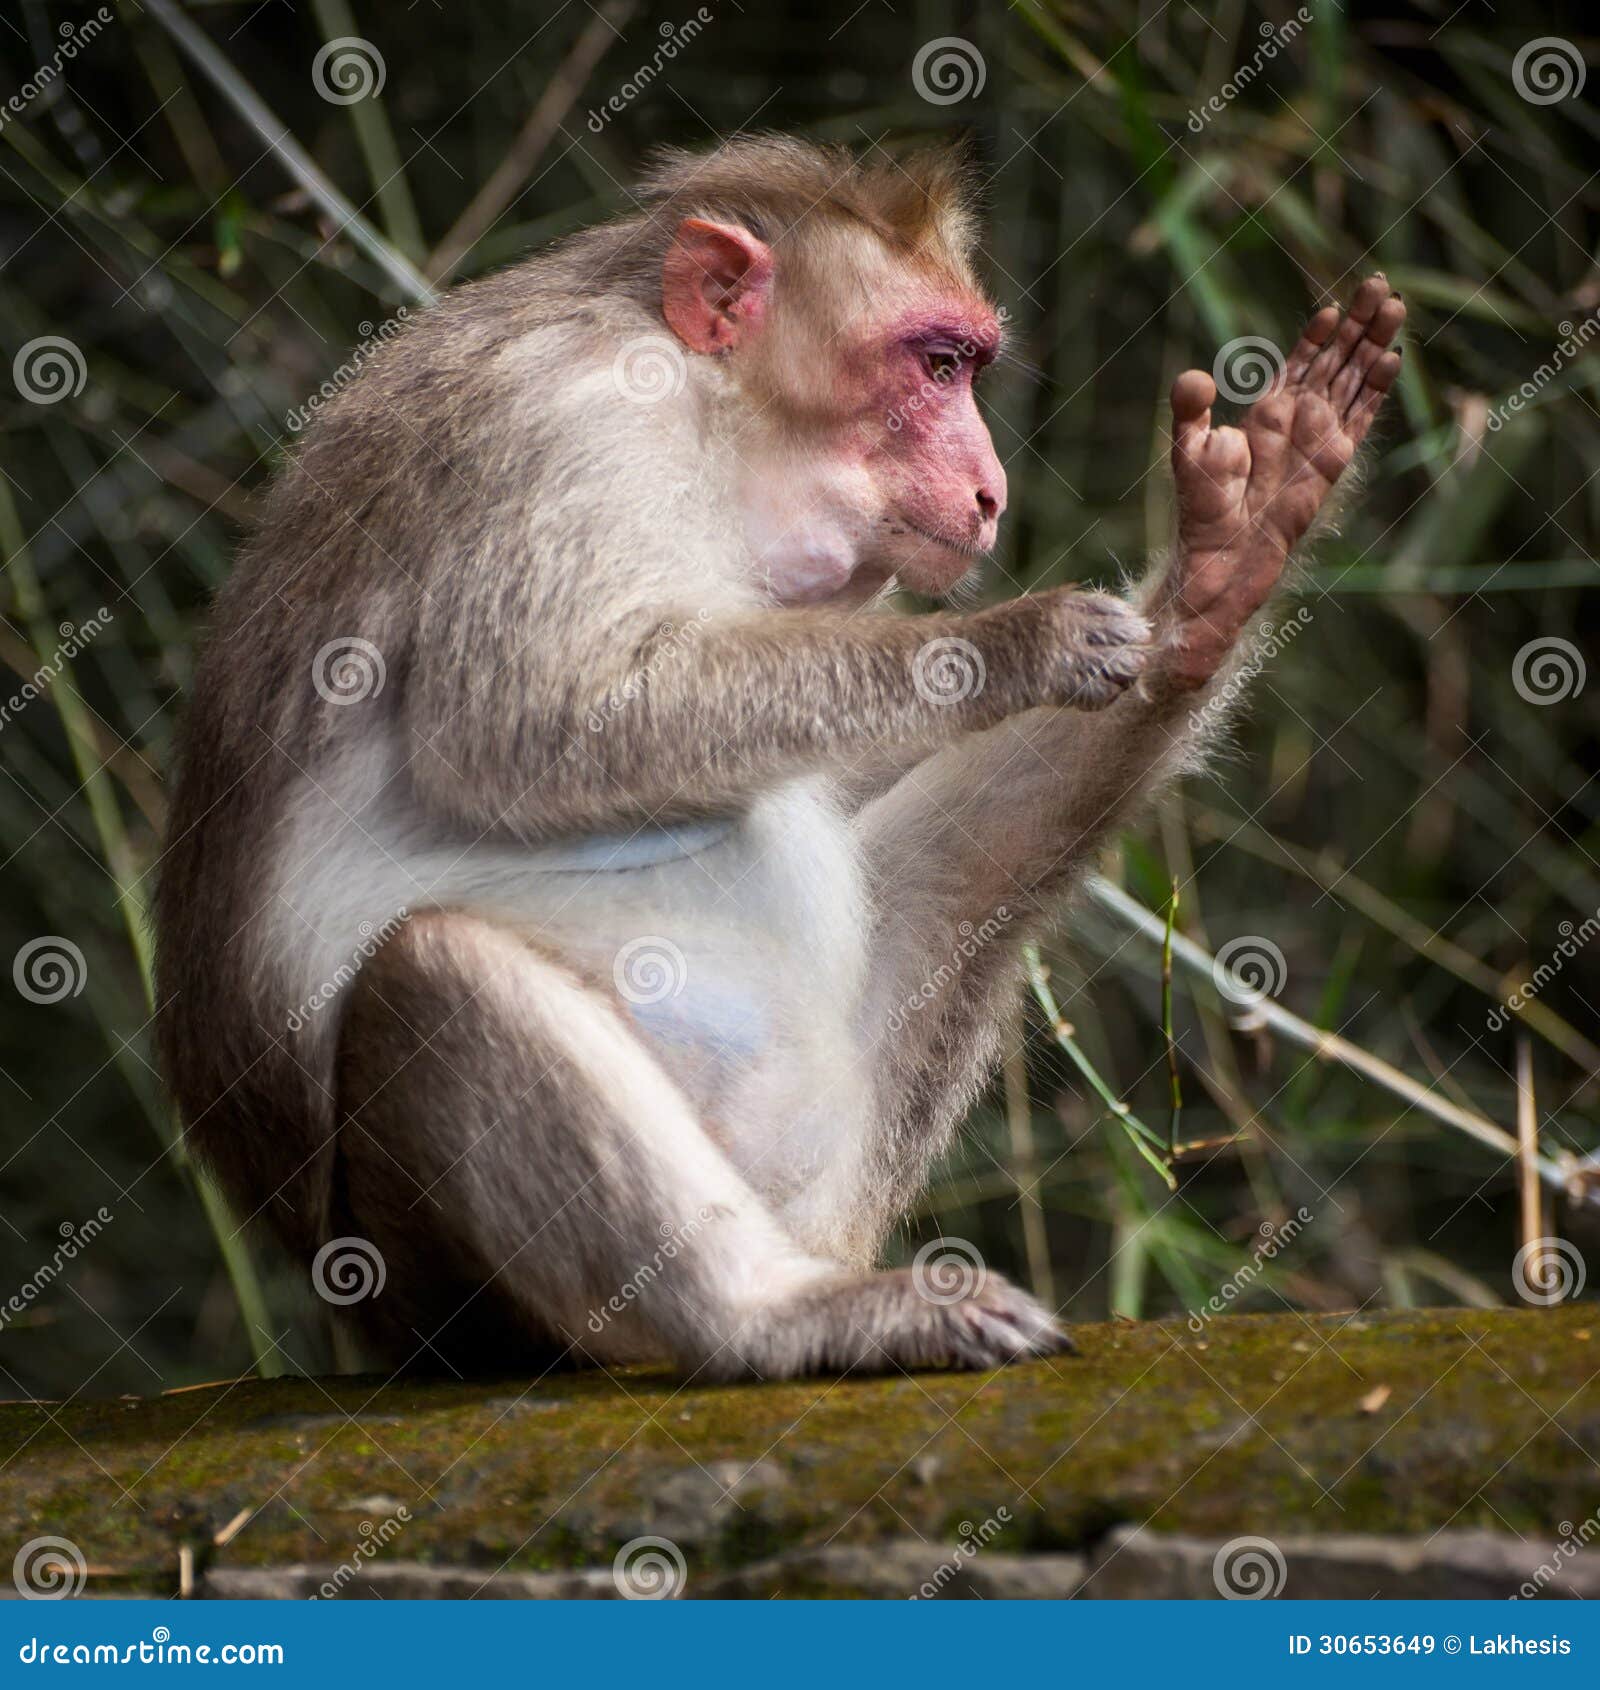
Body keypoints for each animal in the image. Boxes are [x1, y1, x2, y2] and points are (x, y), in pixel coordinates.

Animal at [154, 136, 1404, 1381]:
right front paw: (1017, 643)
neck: (700, 413)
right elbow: (514, 722)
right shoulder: (564, 421)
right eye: (935, 364)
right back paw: (770, 1316)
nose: (992, 488)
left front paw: (1218, 573)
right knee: (434, 972)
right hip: (446, 1286)